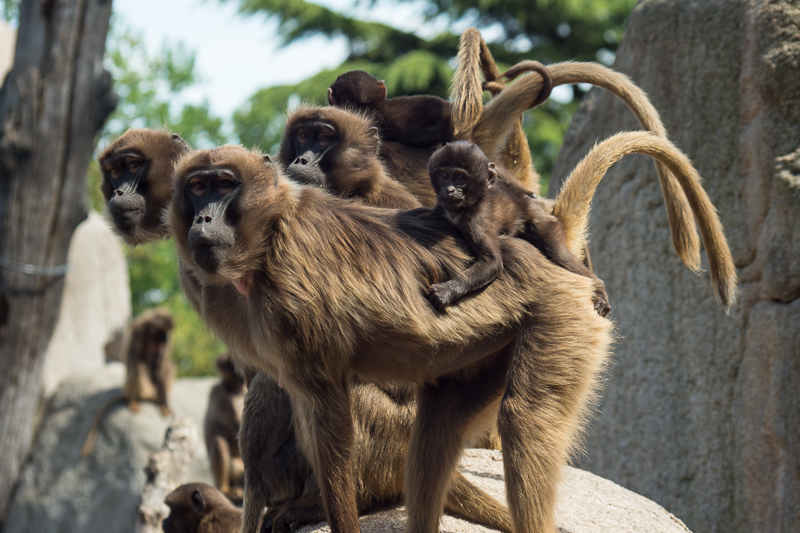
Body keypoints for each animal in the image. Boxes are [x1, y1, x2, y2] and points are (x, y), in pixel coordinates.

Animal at [81, 307, 176, 457]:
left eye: (166, 335)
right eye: (161, 335)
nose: (165, 339)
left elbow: (158, 367)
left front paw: (165, 406)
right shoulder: (140, 332)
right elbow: (136, 359)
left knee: (167, 366)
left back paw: (159, 400)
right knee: (139, 366)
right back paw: (133, 401)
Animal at [426, 141, 610, 316]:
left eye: (460, 177)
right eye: (444, 176)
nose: (449, 190)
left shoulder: (475, 220)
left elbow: (492, 262)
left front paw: (446, 292)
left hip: (545, 224)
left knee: (559, 254)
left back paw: (599, 287)